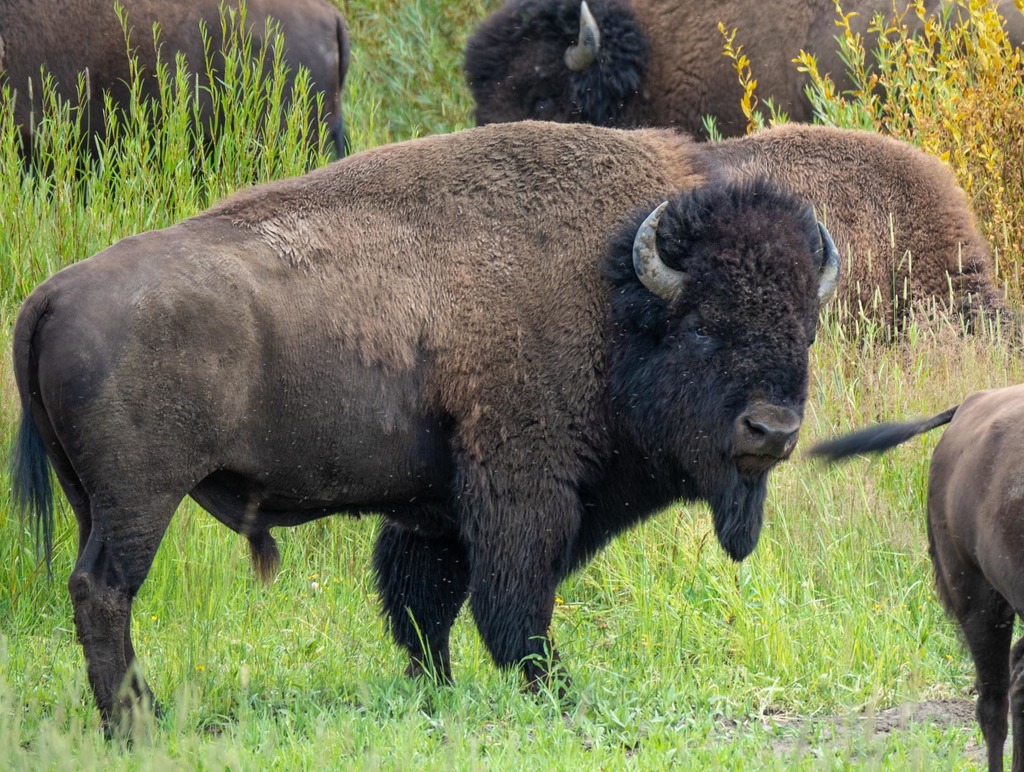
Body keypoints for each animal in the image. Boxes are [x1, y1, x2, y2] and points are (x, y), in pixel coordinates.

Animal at [11, 120, 840, 731]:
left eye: (803, 331)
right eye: (701, 327)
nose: (772, 430)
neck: (609, 293)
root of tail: (50, 294)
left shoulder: (435, 512)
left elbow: (422, 604)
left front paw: (434, 690)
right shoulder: (523, 493)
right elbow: (512, 605)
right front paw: (557, 693)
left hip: (93, 500)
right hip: (139, 500)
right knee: (104, 591)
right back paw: (135, 723)